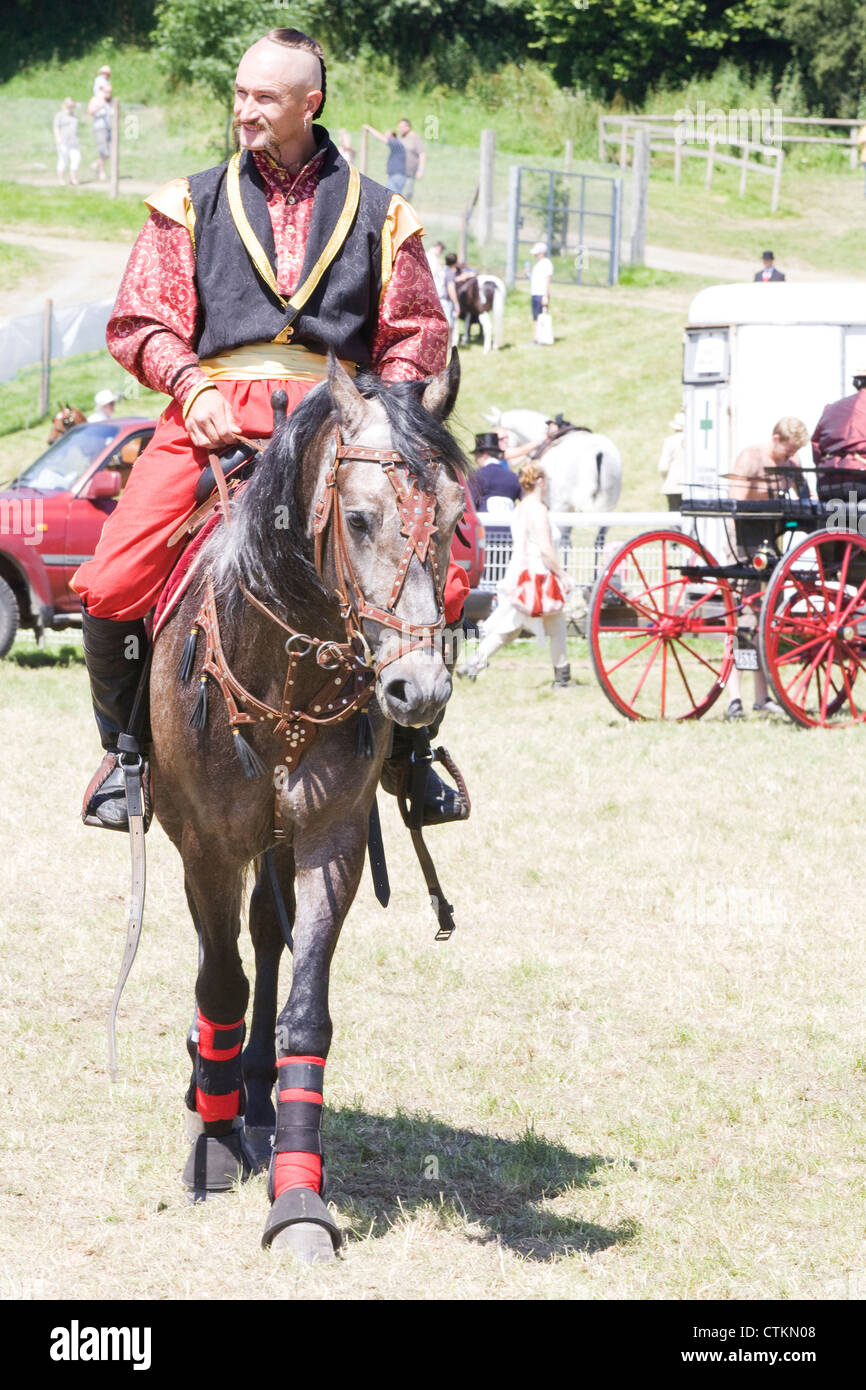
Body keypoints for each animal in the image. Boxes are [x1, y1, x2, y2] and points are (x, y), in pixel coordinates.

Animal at [149, 354, 466, 1263]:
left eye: (454, 520)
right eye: (358, 518)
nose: (418, 690)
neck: (282, 673)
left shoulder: (331, 838)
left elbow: (305, 1012)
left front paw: (297, 1198)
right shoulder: (205, 846)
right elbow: (220, 985)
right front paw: (215, 1146)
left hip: (280, 841)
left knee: (265, 936)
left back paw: (253, 1101)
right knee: (228, 958)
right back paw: (215, 1096)